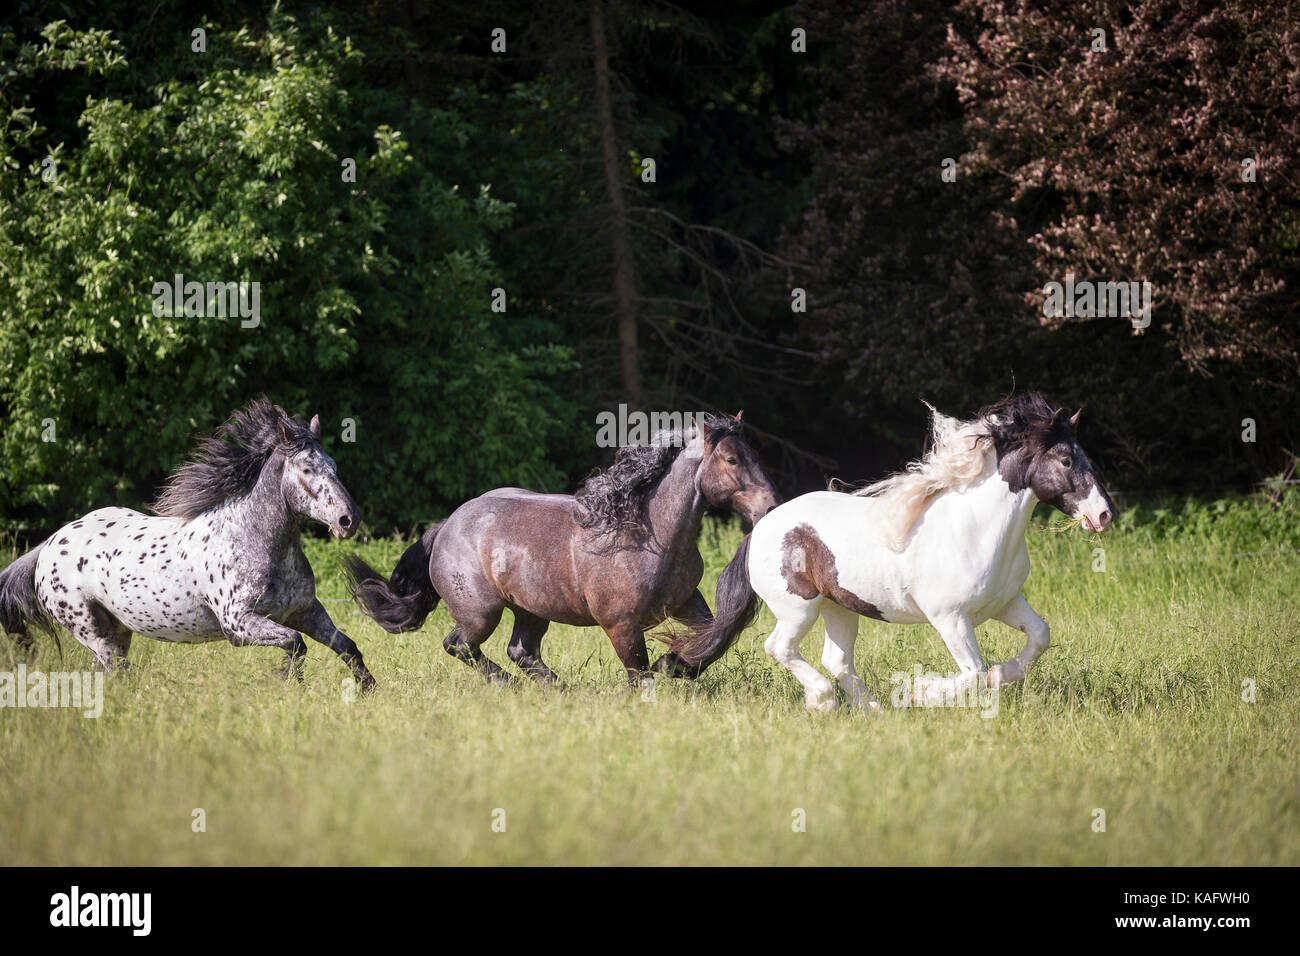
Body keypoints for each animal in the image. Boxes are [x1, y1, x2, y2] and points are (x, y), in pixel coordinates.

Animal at [0, 397, 376, 691]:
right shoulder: (239, 624)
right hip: (93, 633)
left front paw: (369, 692)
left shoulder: (305, 611)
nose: (349, 519)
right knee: (117, 673)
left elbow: (346, 646)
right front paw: (290, 685)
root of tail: (49, 545)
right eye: (307, 469)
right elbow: (295, 646)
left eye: (334, 465)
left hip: (117, 632)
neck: (253, 540)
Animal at [343, 413, 780, 685]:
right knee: (461, 646)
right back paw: (510, 686)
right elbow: (638, 673)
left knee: (521, 651)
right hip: (480, 613)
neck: (647, 536)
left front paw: (677, 665)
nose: (771, 507)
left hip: (531, 610)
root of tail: (446, 526)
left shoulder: (687, 602)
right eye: (731, 459)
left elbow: (717, 635)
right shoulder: (620, 624)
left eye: (756, 456)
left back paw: (560, 690)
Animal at [673, 392, 1117, 711]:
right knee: (780, 648)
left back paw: (874, 711)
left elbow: (1038, 637)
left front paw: (998, 677)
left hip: (840, 607)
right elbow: (973, 671)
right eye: (1066, 459)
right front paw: (921, 692)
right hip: (798, 608)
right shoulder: (950, 618)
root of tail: (763, 526)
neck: (978, 530)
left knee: (837, 661)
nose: (1104, 514)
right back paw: (824, 701)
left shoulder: (1005, 603)